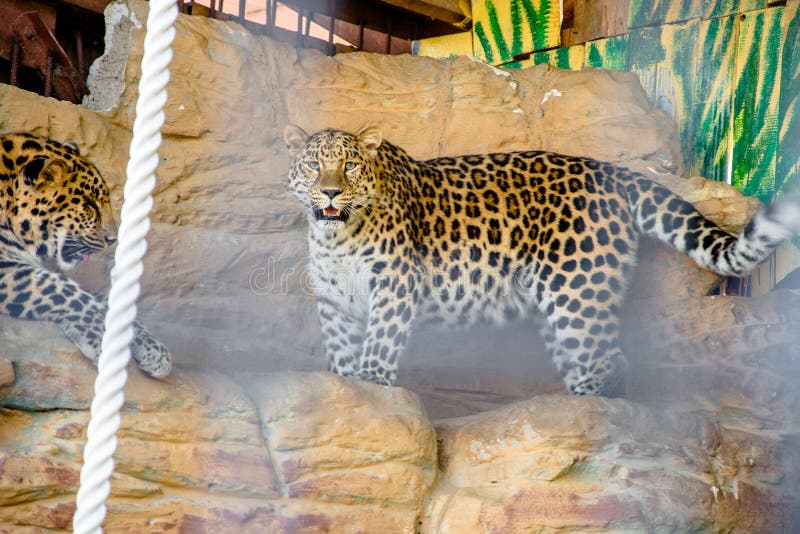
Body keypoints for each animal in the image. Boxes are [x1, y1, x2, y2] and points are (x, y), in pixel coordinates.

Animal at [0, 132, 171, 378]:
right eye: (89, 205)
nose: (113, 239)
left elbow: (96, 297)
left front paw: (151, 347)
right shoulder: (5, 267)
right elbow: (64, 290)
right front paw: (102, 337)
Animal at [283, 125, 800, 396]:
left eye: (349, 165)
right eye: (313, 165)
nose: (330, 192)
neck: (337, 236)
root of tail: (614, 174)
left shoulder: (395, 284)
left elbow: (380, 344)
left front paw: (374, 385)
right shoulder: (333, 301)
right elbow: (342, 351)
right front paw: (351, 391)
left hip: (578, 290)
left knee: (609, 360)